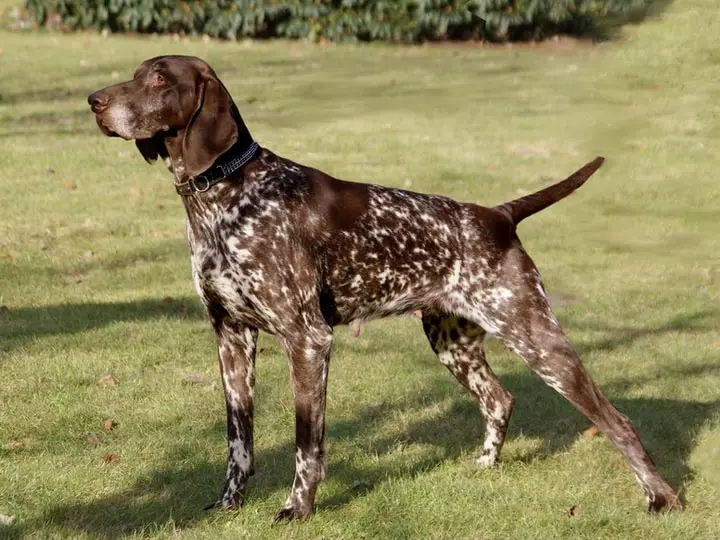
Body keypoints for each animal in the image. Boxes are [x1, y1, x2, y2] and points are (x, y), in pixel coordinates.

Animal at [87, 53, 676, 520]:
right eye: (136, 73)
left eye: (159, 78)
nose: (93, 100)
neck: (226, 196)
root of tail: (496, 215)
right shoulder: (231, 336)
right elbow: (239, 440)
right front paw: (229, 505)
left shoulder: (307, 340)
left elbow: (306, 444)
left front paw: (298, 509)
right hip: (453, 342)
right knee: (500, 399)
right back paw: (485, 465)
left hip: (536, 338)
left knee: (616, 420)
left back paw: (662, 497)